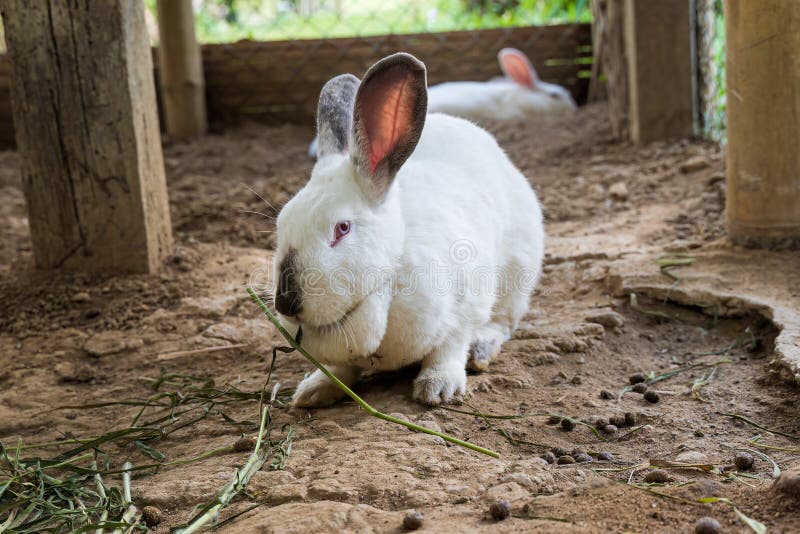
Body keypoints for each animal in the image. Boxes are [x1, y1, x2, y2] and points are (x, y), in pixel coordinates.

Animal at [274, 52, 544, 408]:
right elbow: (342, 368)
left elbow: (449, 348)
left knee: (503, 321)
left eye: (342, 228)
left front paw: (438, 387)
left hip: (517, 274)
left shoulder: (466, 305)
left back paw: (482, 348)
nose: (284, 303)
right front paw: (314, 390)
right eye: (281, 222)